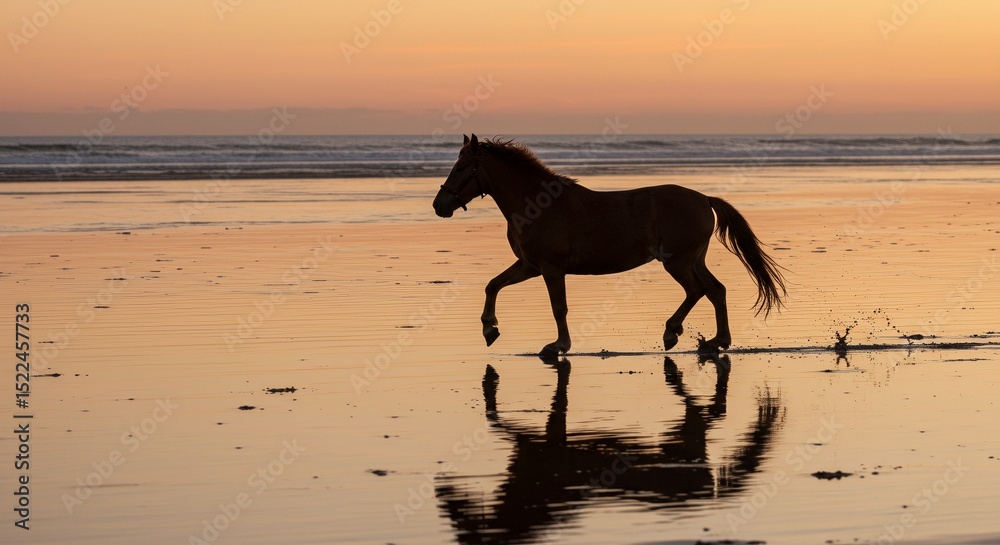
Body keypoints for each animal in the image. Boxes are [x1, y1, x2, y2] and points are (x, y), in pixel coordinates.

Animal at [432, 134, 786, 358]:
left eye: (461, 168)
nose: (439, 205)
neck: (538, 204)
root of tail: (704, 199)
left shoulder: (551, 269)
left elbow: (558, 307)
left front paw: (558, 346)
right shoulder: (530, 267)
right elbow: (493, 285)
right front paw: (489, 330)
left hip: (678, 262)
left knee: (698, 291)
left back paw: (674, 332)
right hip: (694, 260)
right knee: (716, 290)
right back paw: (715, 341)